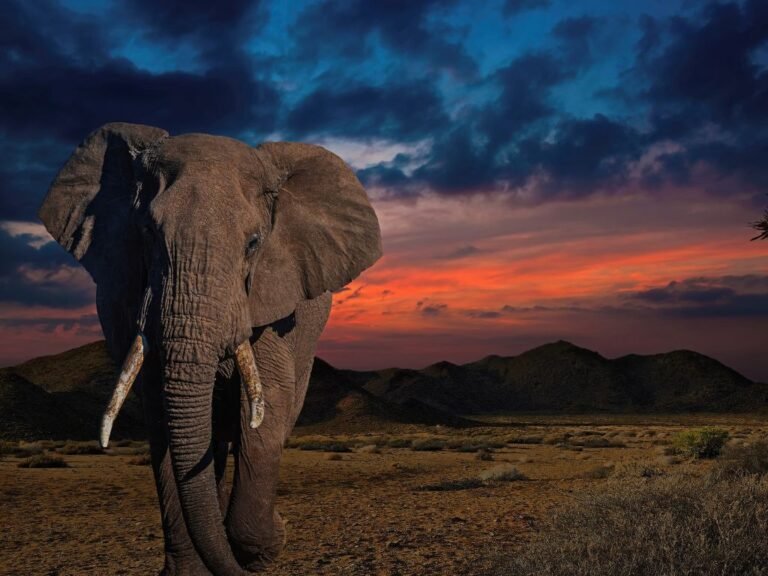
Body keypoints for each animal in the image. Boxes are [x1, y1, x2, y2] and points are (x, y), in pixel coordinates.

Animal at [37, 123, 382, 575]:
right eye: (147, 233)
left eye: (254, 243)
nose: (284, 522)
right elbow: (164, 417)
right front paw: (197, 567)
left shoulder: (270, 300)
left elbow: (267, 408)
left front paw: (266, 544)